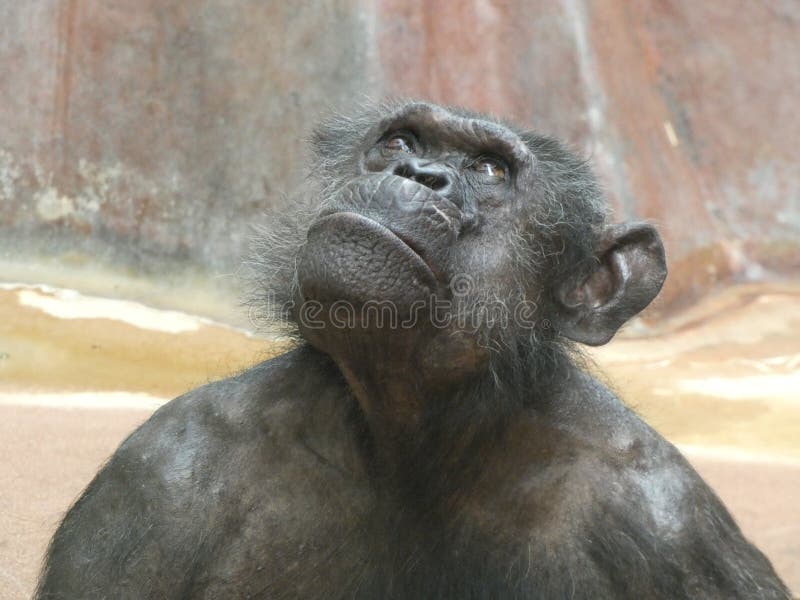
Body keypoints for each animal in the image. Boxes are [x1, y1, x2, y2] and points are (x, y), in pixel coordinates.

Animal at [36, 101, 790, 599]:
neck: (414, 429)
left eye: (489, 168)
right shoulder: (151, 488)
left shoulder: (676, 534)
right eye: (399, 139)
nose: (418, 173)